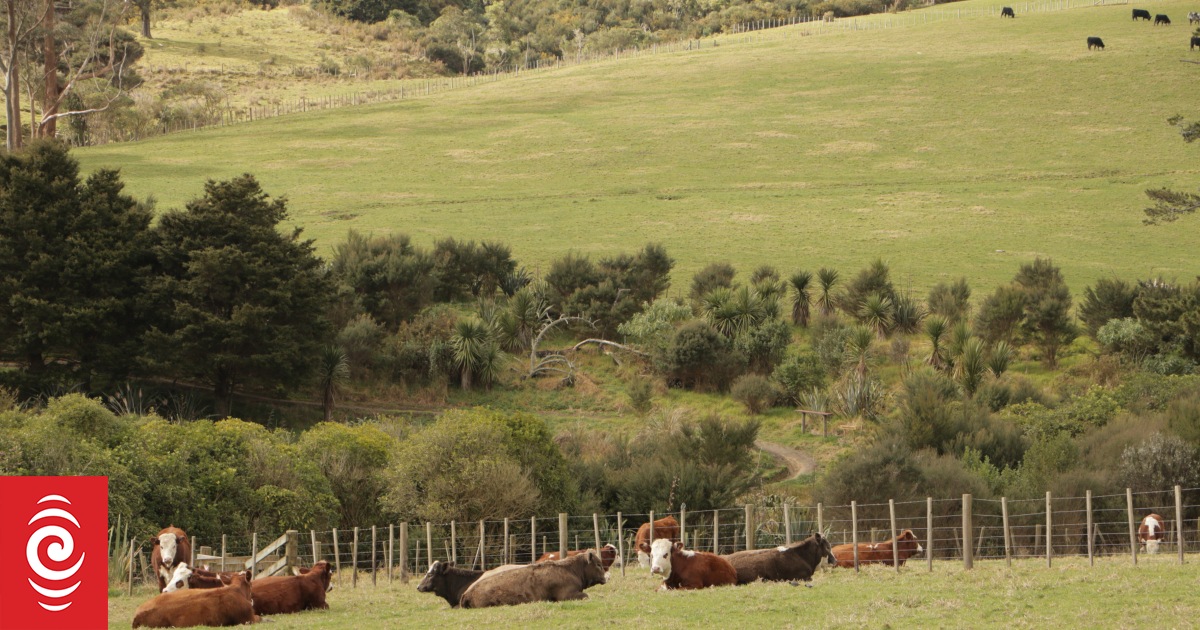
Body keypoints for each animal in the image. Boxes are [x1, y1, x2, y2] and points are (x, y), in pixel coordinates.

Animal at [458, 550, 607, 608]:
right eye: (598, 564)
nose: (605, 577)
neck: (570, 569)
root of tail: (467, 593)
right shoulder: (567, 595)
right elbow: (586, 595)